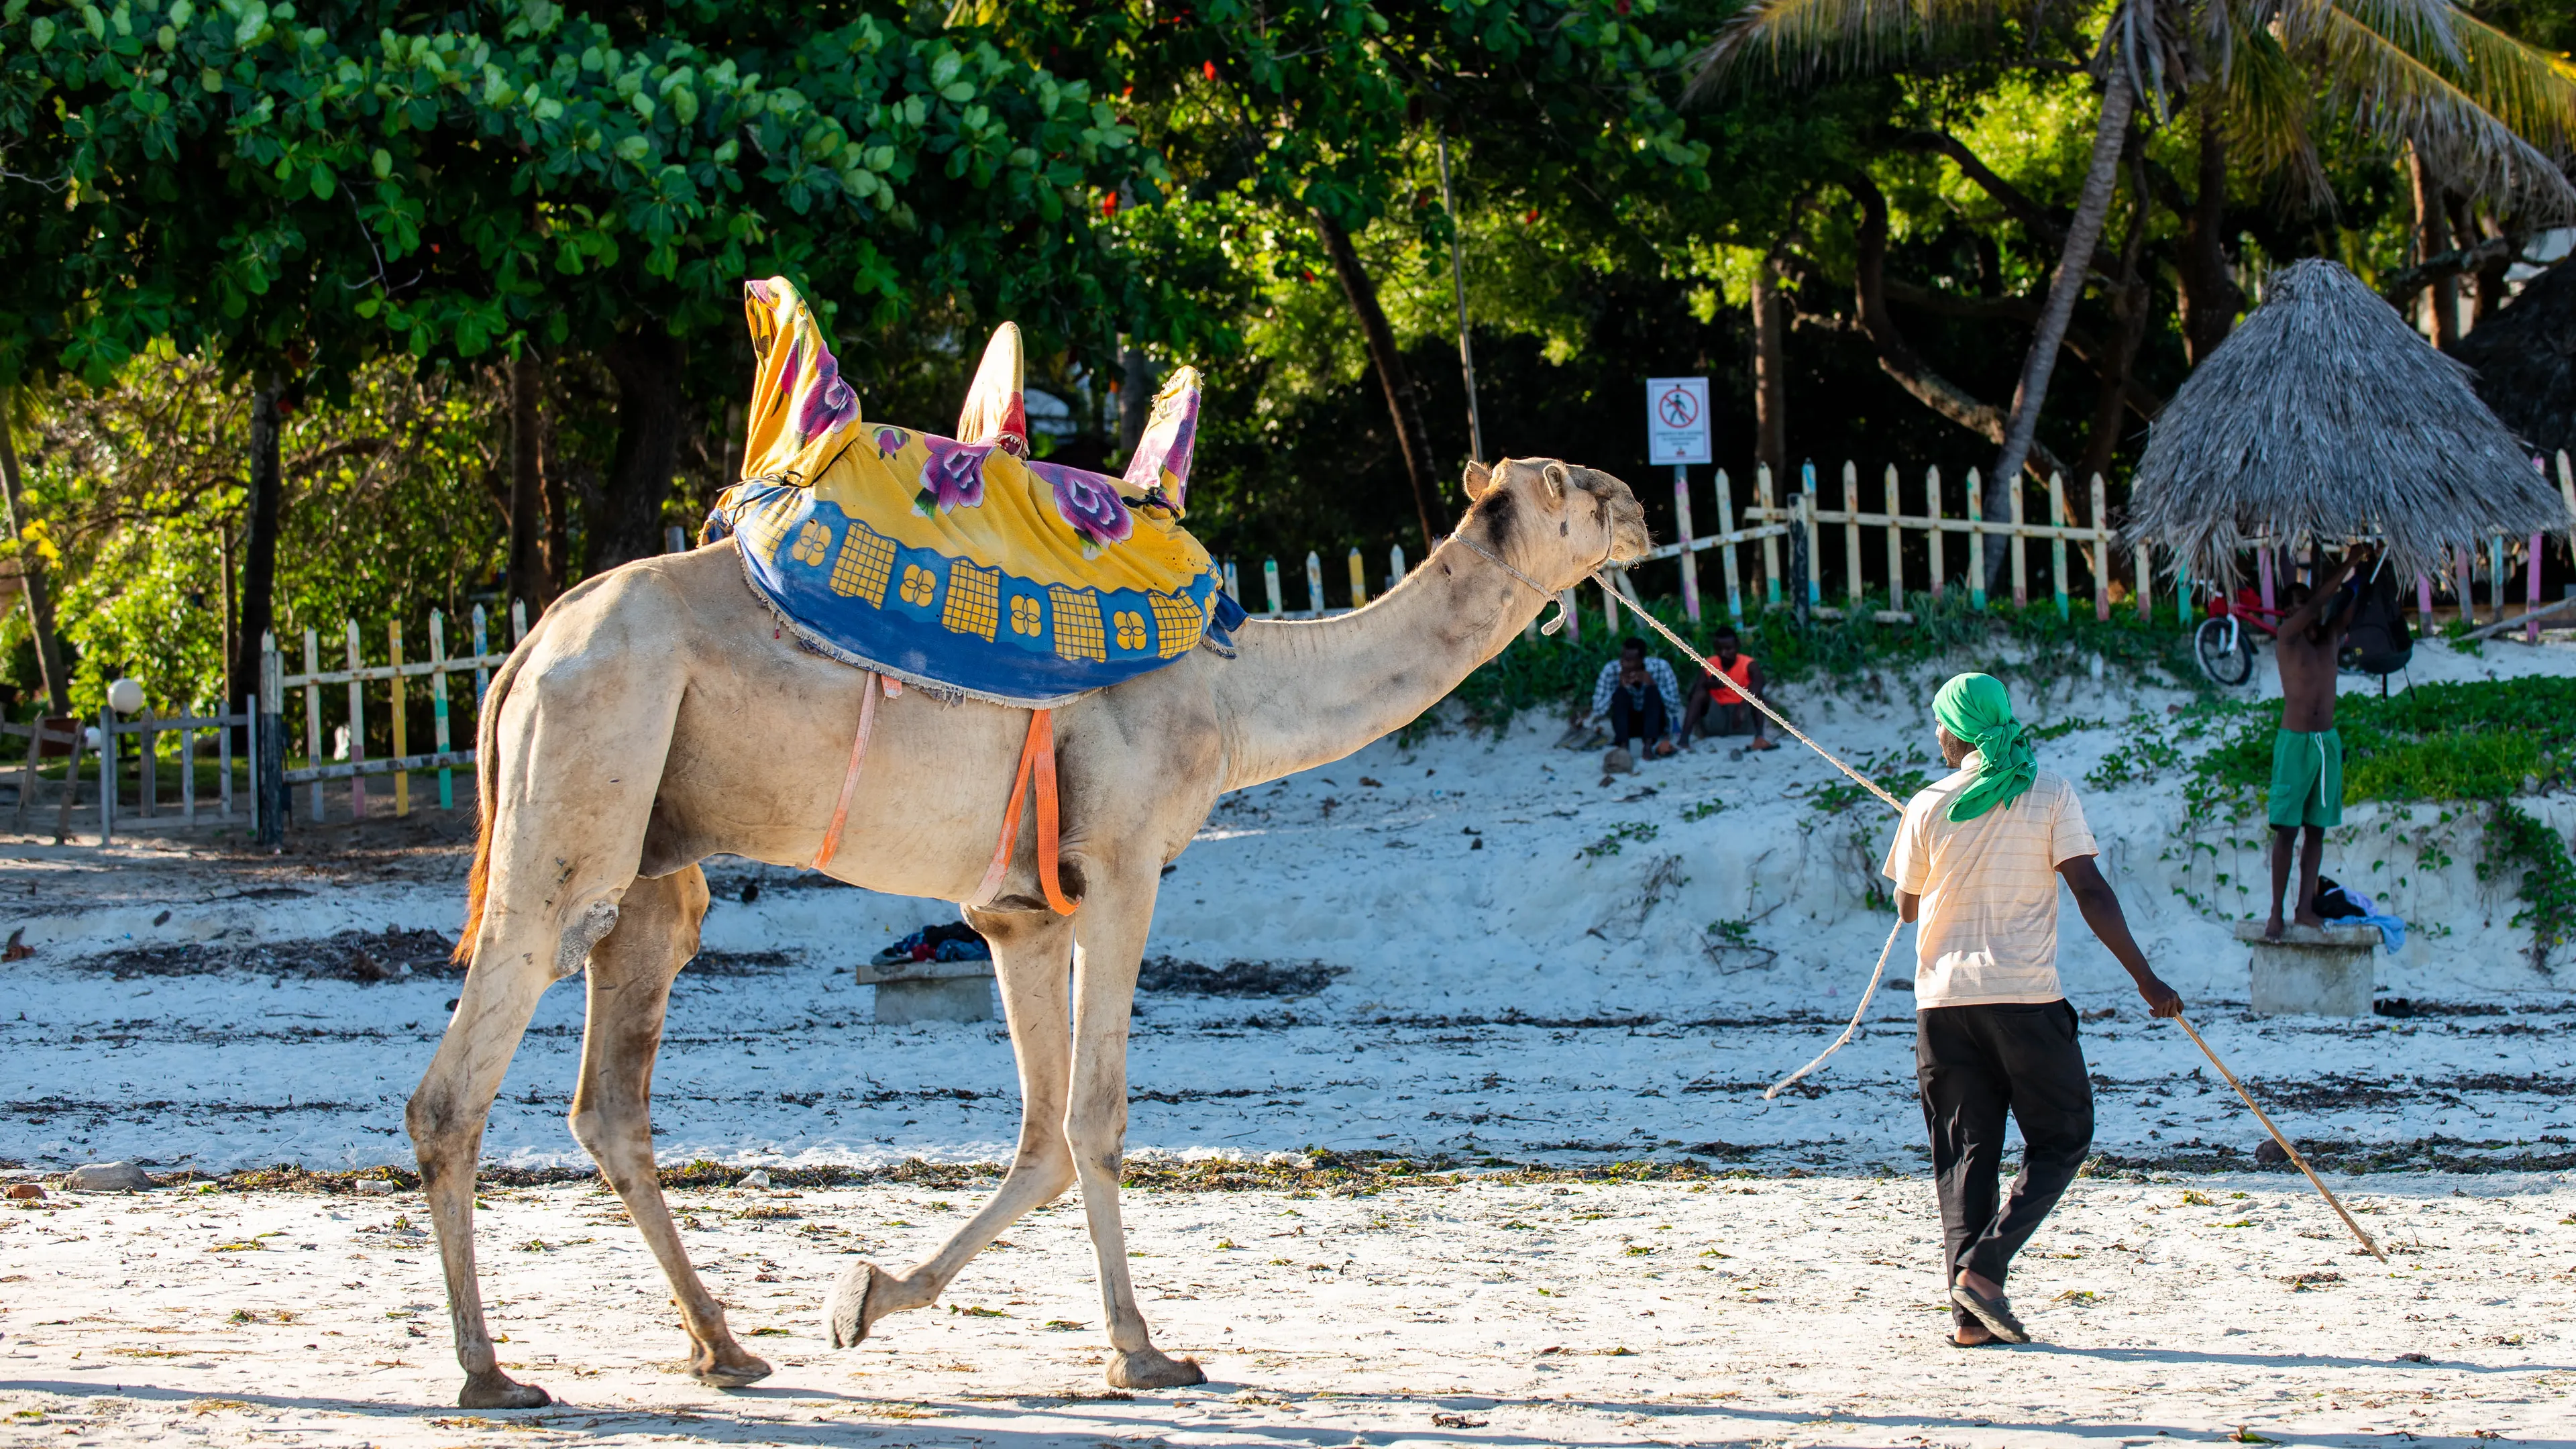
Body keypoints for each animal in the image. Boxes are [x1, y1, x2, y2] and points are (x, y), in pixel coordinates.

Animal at [408, 454, 1650, 1409]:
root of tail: (526, 653)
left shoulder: (1017, 911)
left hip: (654, 856)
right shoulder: (1120, 871)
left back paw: (724, 1348)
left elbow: (1042, 1135)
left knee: (613, 1095)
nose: (1640, 506)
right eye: (1576, 487)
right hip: (579, 792)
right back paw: (491, 1375)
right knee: (458, 1087)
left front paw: (866, 1301)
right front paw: (1145, 1355)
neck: (1236, 697)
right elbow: (1096, 1118)